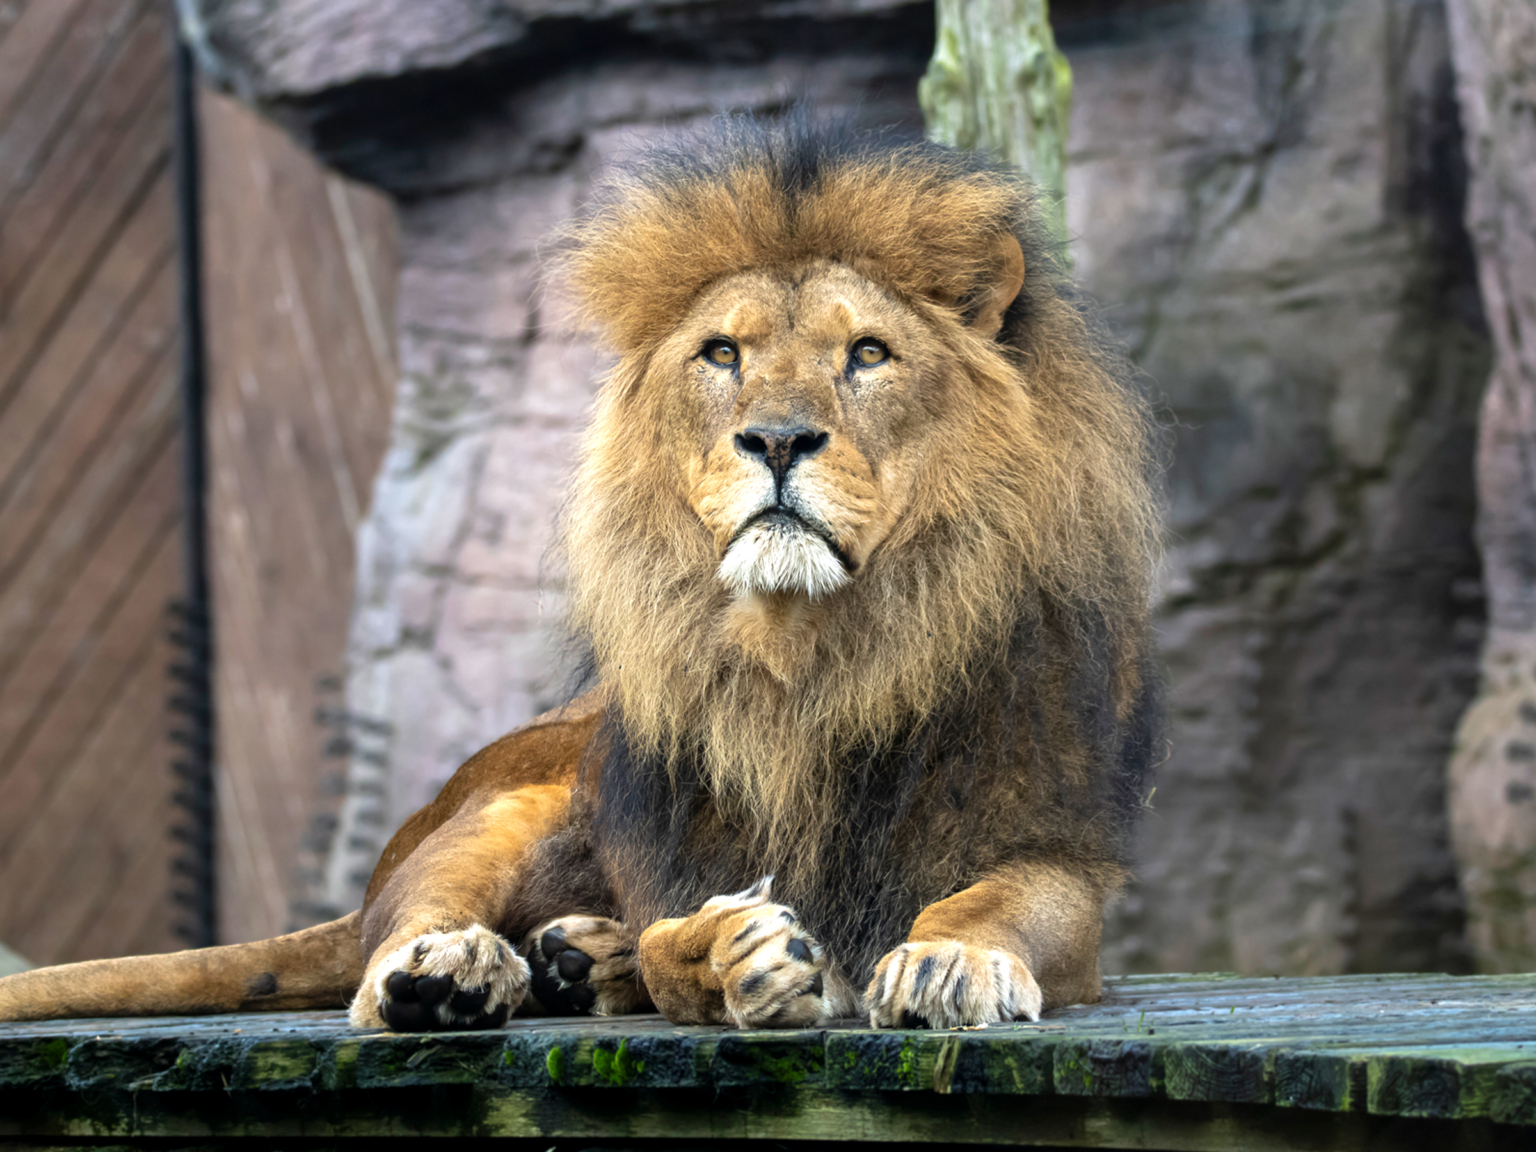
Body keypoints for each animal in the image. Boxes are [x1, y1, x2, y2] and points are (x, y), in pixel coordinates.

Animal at [0, 115, 1161, 1033]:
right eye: (723, 354)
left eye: (868, 354)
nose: (778, 439)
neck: (807, 658)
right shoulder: (672, 857)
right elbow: (666, 939)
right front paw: (732, 956)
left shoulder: (1053, 849)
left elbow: (993, 902)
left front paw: (948, 960)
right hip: (503, 808)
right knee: (392, 946)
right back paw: (458, 974)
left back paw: (571, 959)